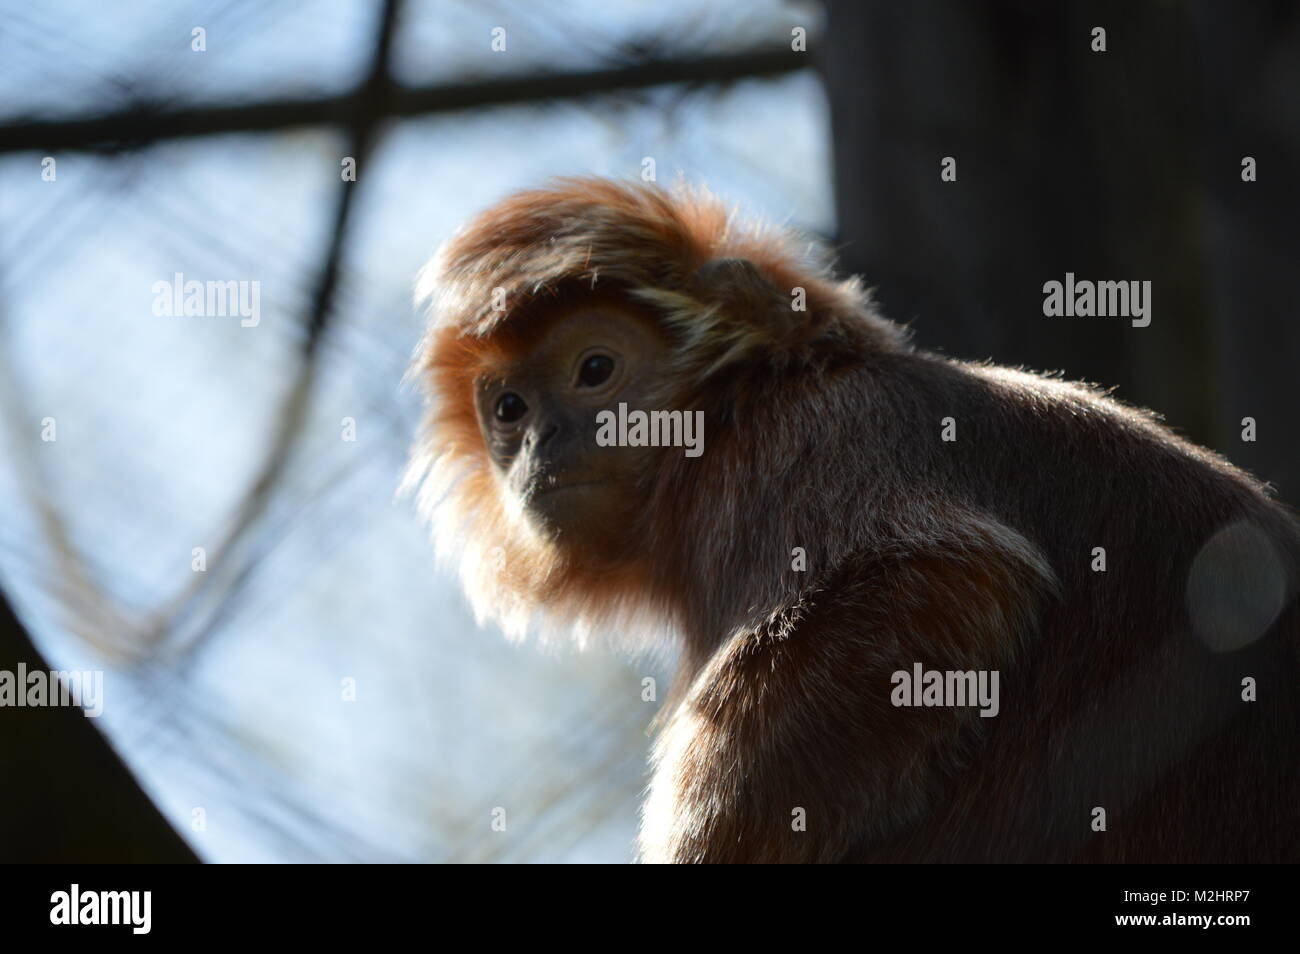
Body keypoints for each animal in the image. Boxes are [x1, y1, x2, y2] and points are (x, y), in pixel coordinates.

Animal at [406, 177, 1300, 863]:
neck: (742, 407)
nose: (538, 445)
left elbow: (941, 578)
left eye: (595, 369)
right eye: (509, 411)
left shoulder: (804, 448)